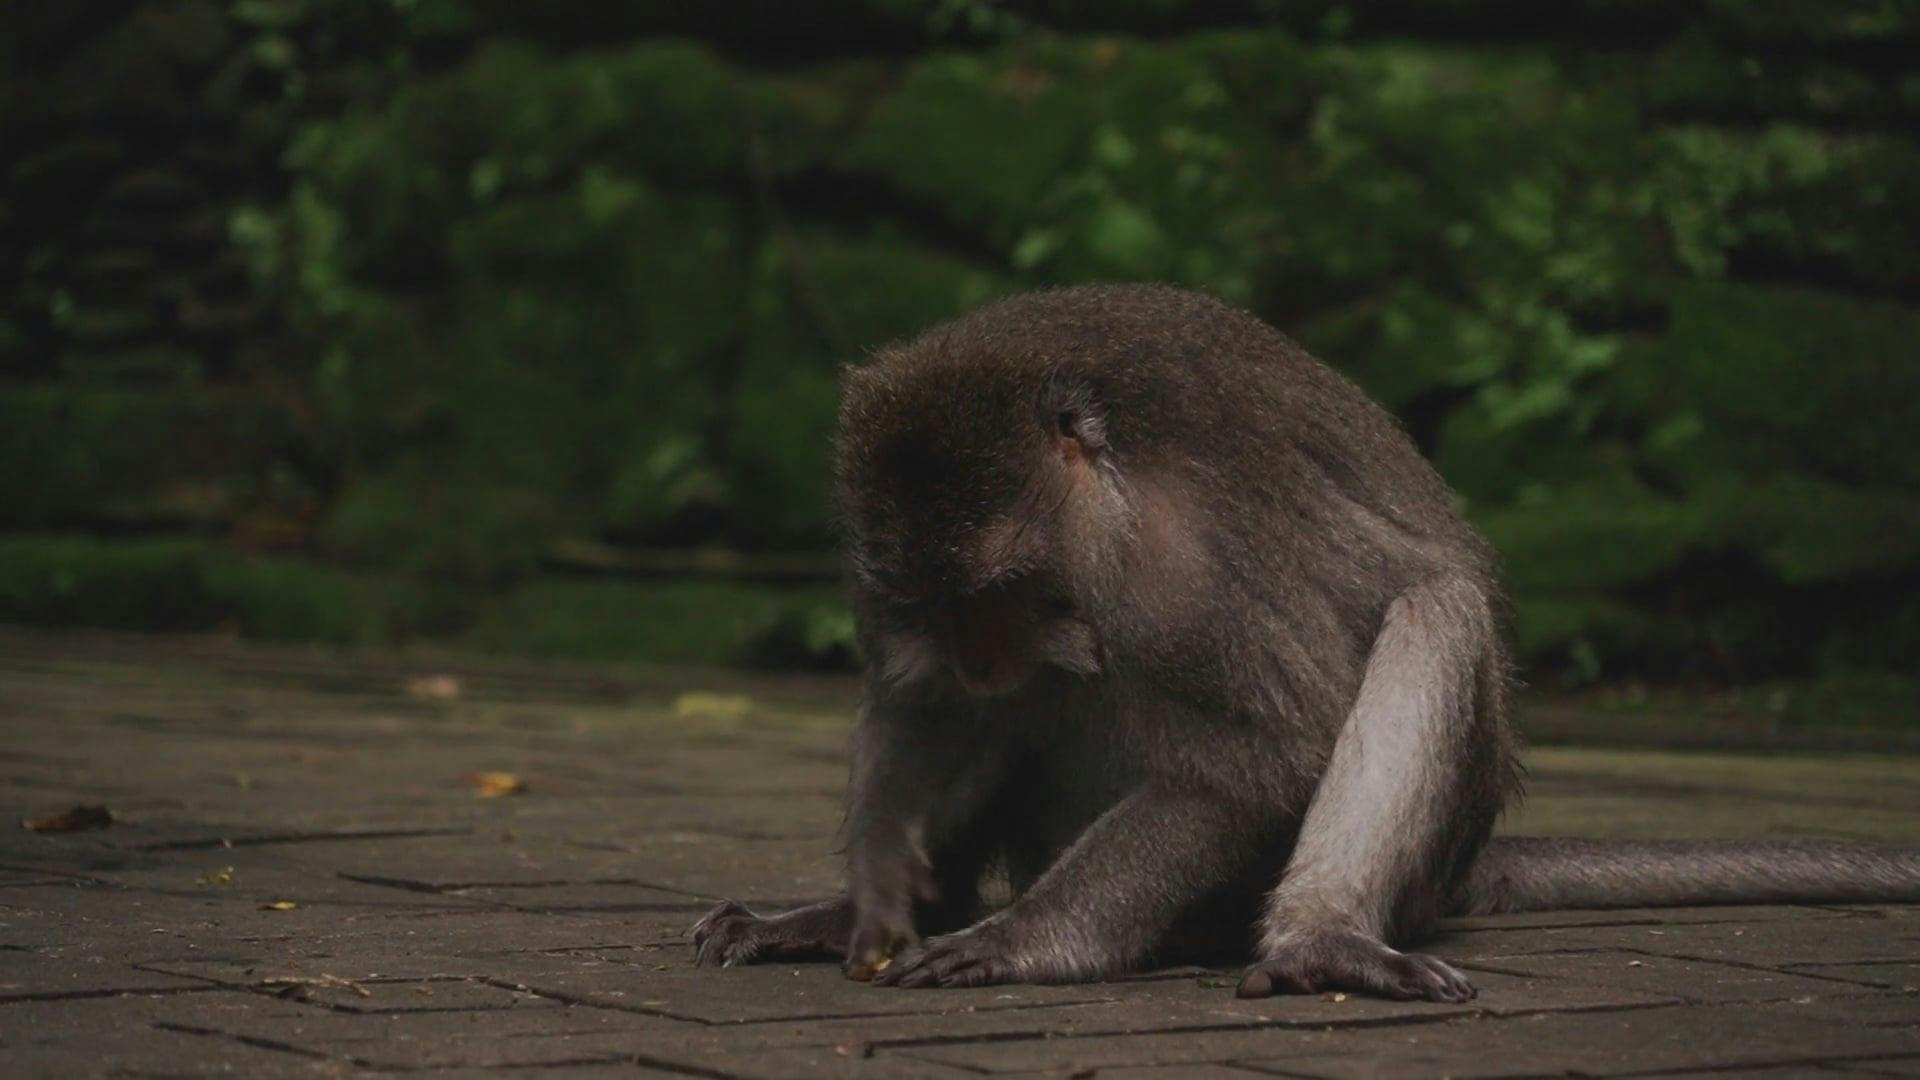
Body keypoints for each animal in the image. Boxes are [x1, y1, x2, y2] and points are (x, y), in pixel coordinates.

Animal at [690, 283, 1920, 1001]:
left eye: (1010, 594)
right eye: (937, 608)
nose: (984, 655)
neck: (1097, 520)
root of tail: (1460, 866)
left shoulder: (1181, 571)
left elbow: (1260, 759)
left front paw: (1030, 938)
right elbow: (920, 705)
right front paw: (867, 899)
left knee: (1436, 610)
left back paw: (1320, 939)